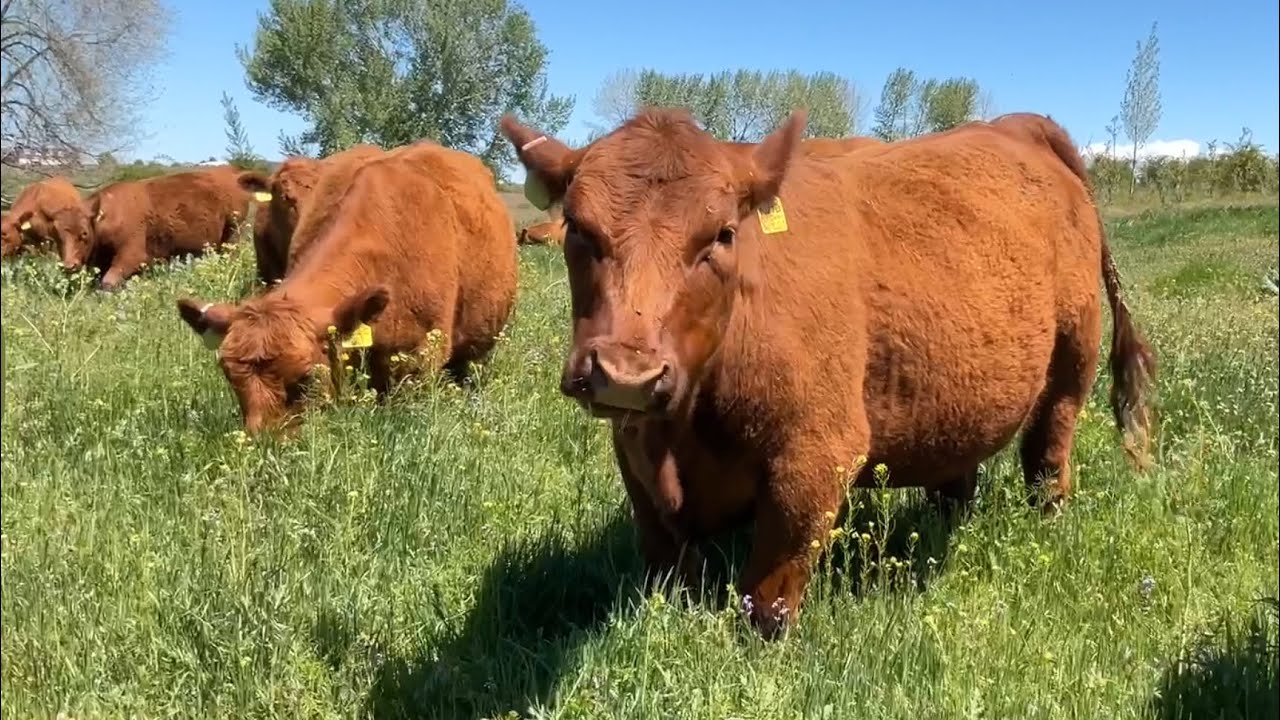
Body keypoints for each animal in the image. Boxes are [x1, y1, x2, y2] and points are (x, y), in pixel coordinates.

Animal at [70, 165, 255, 290]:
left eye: (84, 233)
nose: (69, 264)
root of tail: (232, 171)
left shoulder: (131, 255)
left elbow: (109, 281)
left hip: (232, 235)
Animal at [498, 107, 1156, 640]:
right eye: (578, 228)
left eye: (723, 234)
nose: (625, 374)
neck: (685, 430)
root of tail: (1018, 125)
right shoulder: (637, 460)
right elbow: (669, 572)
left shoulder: (815, 458)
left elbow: (766, 602)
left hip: (1073, 363)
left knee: (1047, 456)